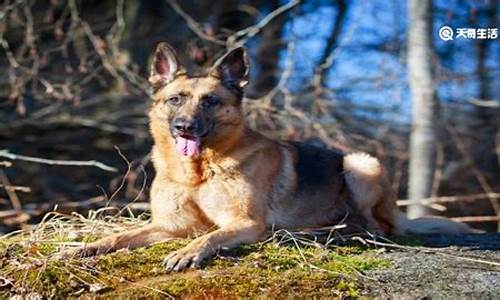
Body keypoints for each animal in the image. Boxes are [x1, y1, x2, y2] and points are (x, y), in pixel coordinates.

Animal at [62, 41, 476, 270]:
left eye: (210, 101)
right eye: (175, 99)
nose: (185, 127)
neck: (199, 171)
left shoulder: (244, 223)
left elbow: (210, 236)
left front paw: (189, 253)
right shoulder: (170, 226)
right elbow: (121, 236)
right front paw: (85, 247)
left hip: (360, 163)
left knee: (375, 228)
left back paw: (326, 230)